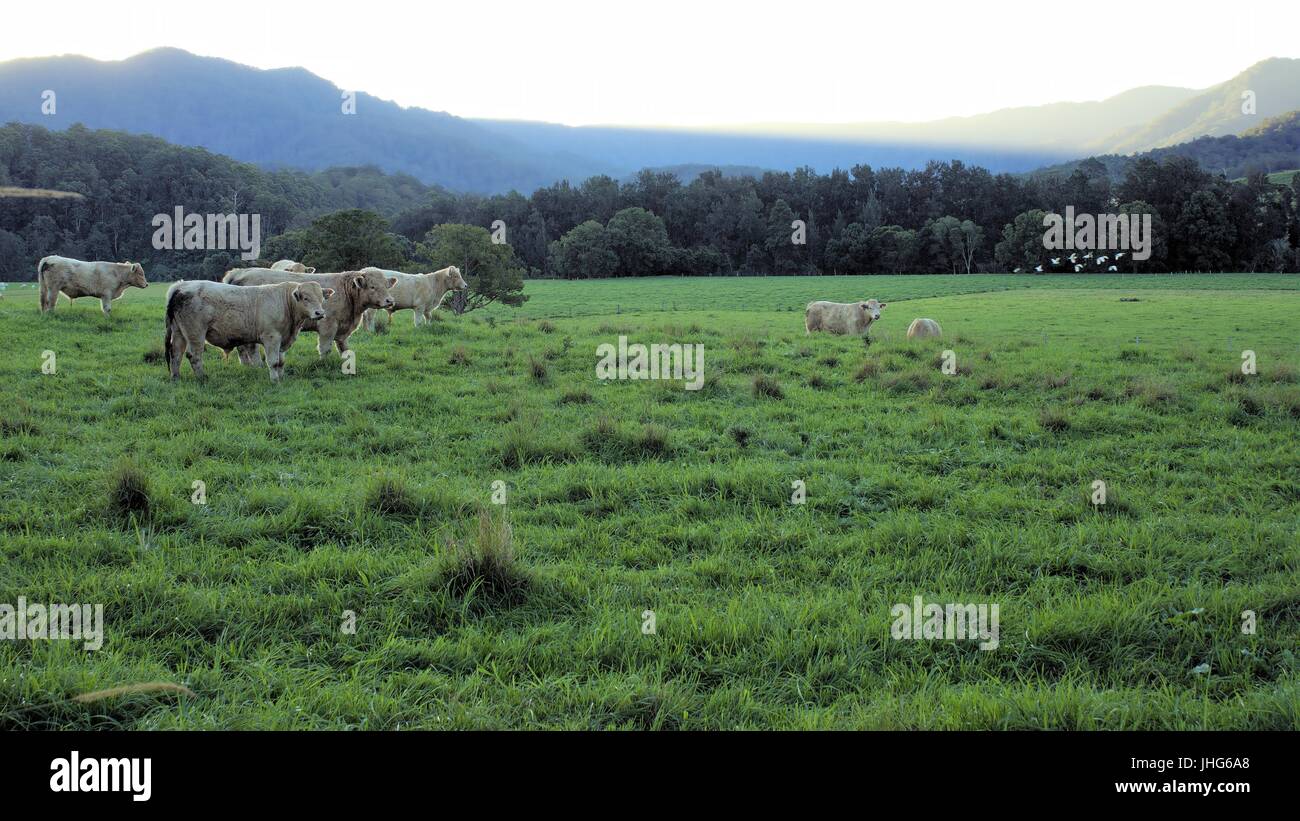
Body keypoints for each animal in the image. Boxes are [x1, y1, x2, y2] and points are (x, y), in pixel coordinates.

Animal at [164, 280, 331, 382]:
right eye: (305, 298)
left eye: (321, 297)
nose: (320, 313)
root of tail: (181, 286)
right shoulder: (271, 337)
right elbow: (273, 362)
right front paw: (275, 380)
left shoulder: (282, 339)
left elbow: (281, 362)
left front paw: (281, 377)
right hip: (196, 333)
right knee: (194, 356)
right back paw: (202, 378)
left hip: (179, 332)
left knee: (176, 354)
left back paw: (175, 378)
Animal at [221, 268, 395, 358]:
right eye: (372, 286)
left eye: (387, 285)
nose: (389, 300)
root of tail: (238, 271)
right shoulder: (328, 325)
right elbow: (325, 348)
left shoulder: (343, 330)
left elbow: (344, 348)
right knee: (249, 348)